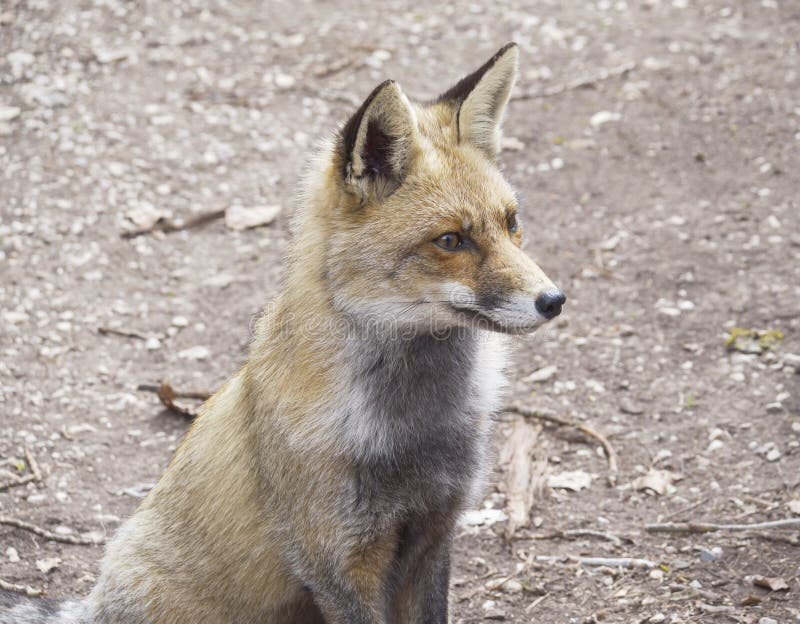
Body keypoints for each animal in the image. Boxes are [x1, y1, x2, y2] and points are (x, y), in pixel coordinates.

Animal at [1, 42, 564, 623]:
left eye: (511, 222)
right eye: (451, 240)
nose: (553, 301)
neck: (412, 428)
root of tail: (91, 602)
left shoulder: (433, 535)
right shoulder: (339, 564)